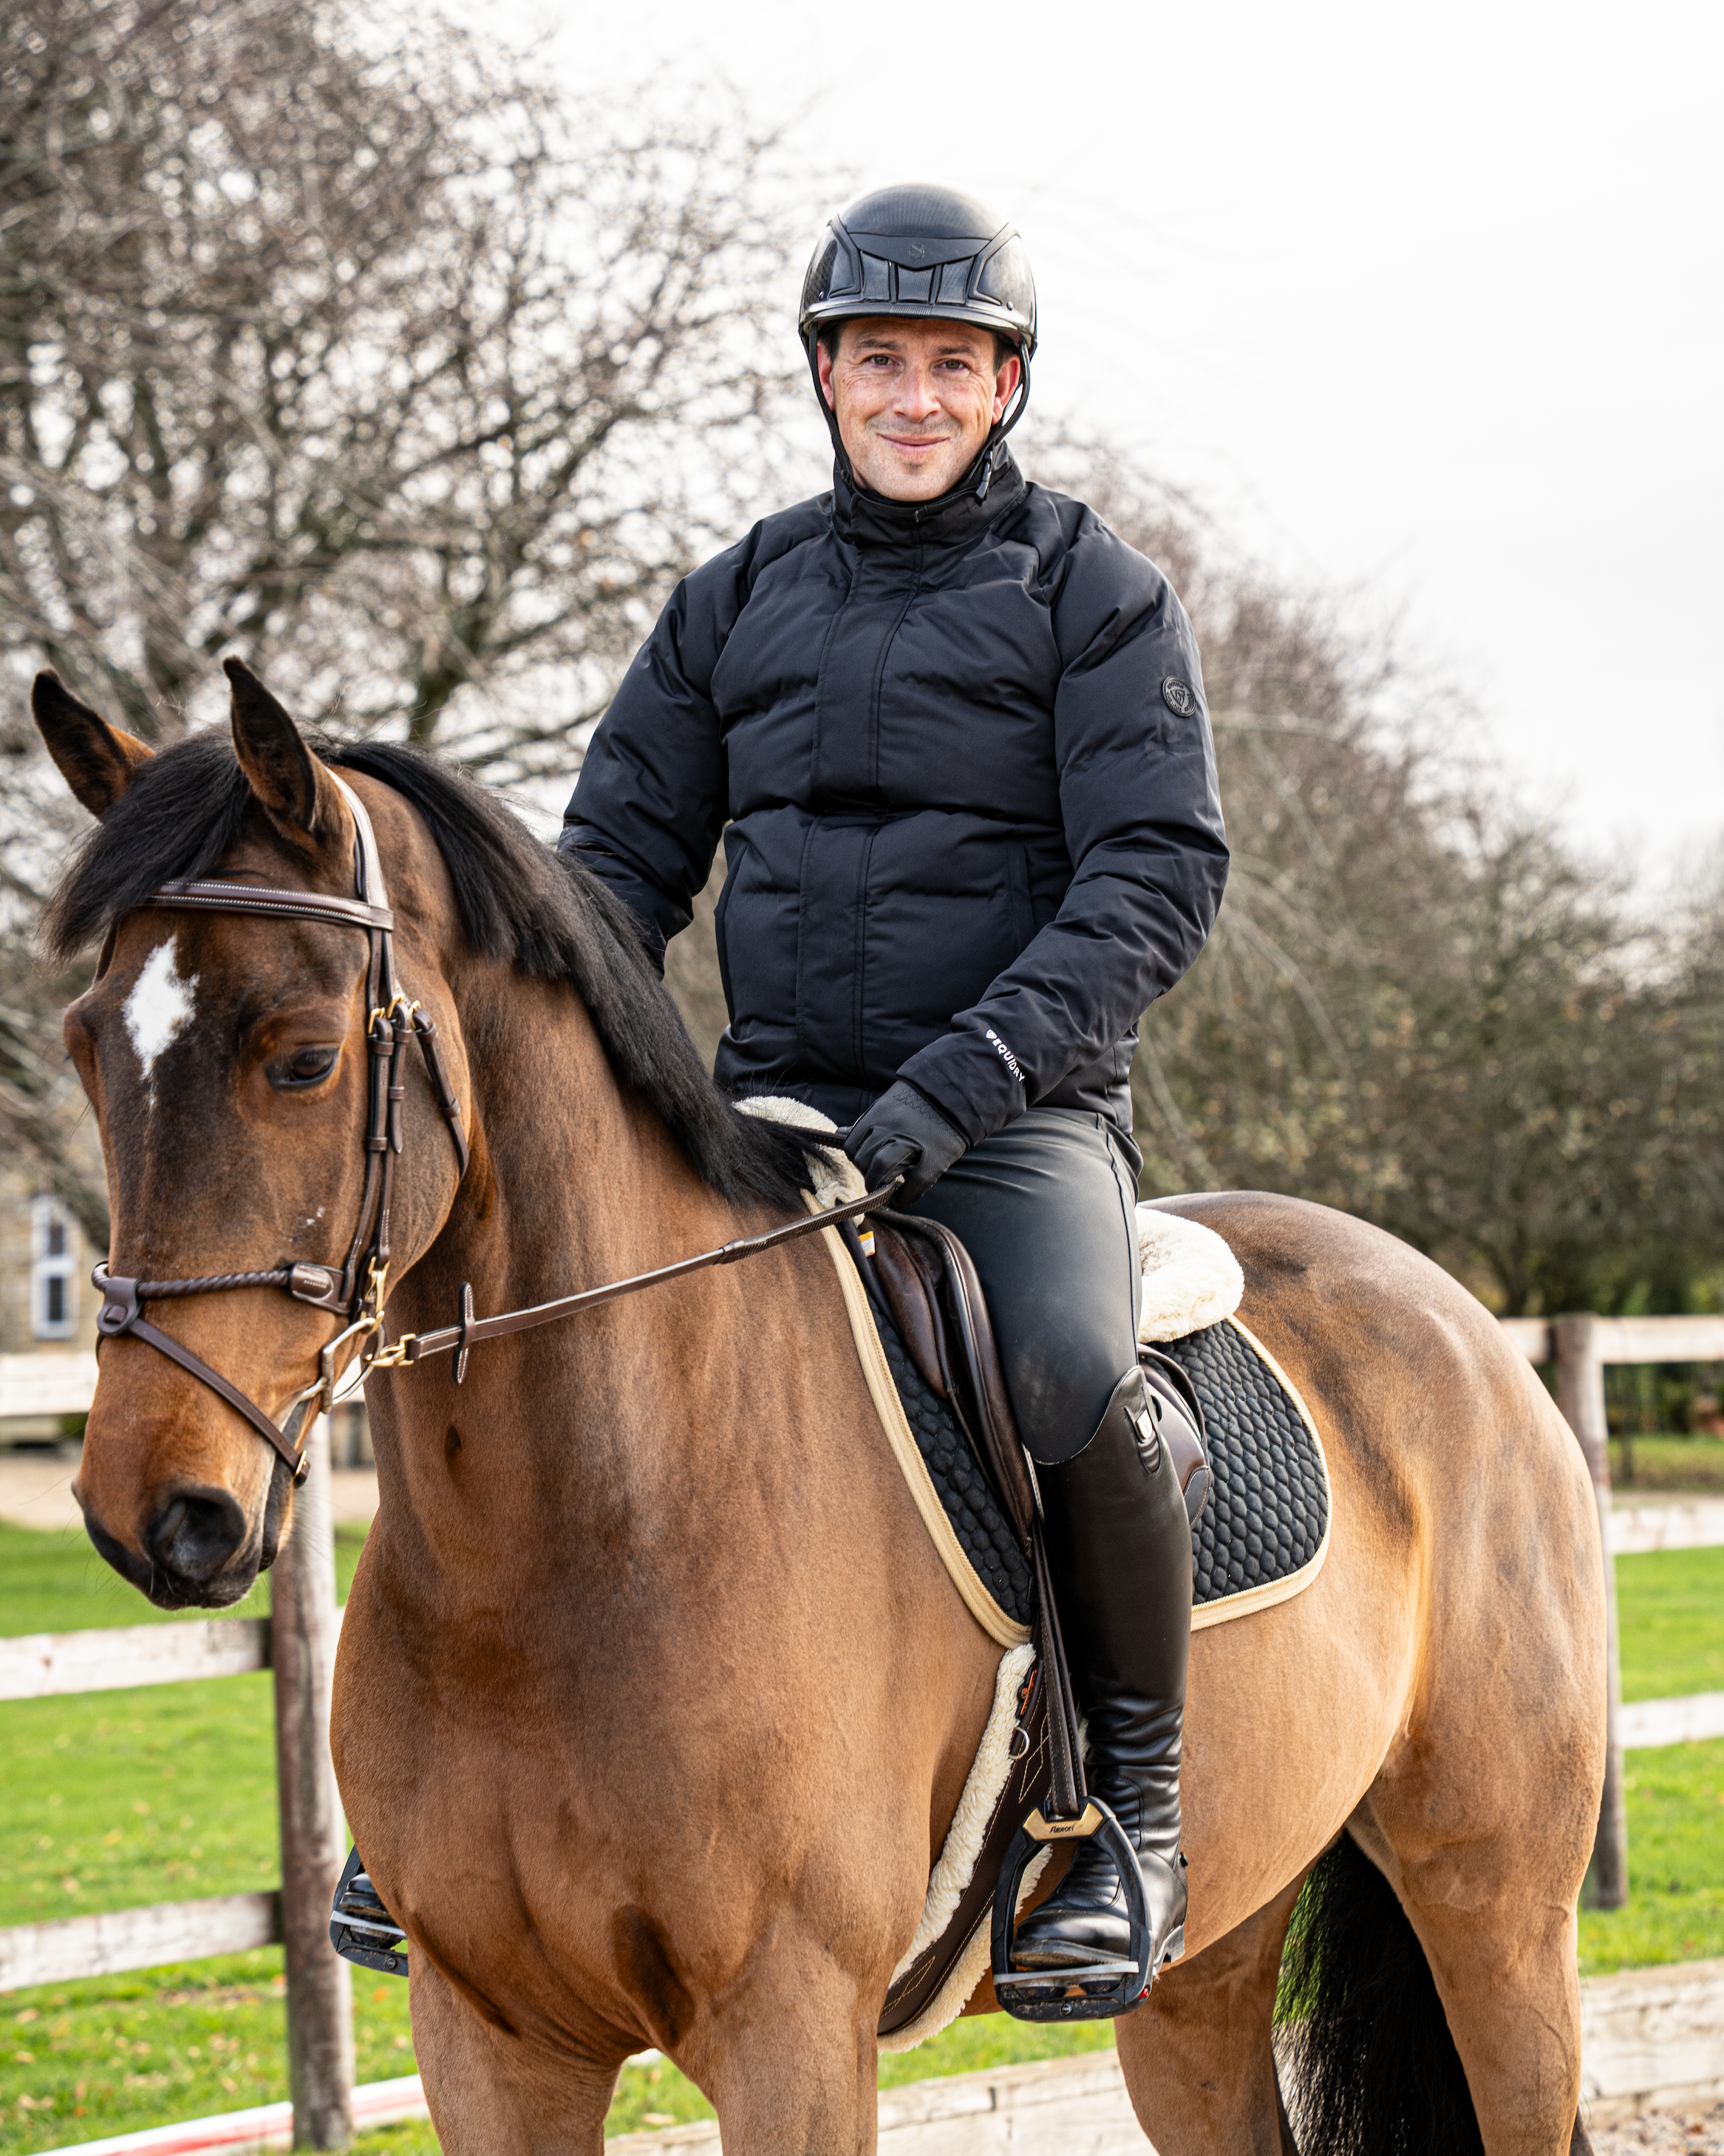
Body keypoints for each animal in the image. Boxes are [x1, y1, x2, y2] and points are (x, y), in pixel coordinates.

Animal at [33, 661, 1605, 2155]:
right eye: (88, 1047)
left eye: (302, 1055)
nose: (158, 1514)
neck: (578, 1543)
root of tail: (1458, 1322)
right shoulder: (487, 2037)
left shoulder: (787, 2025)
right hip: (1209, 1961)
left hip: (1496, 1914)